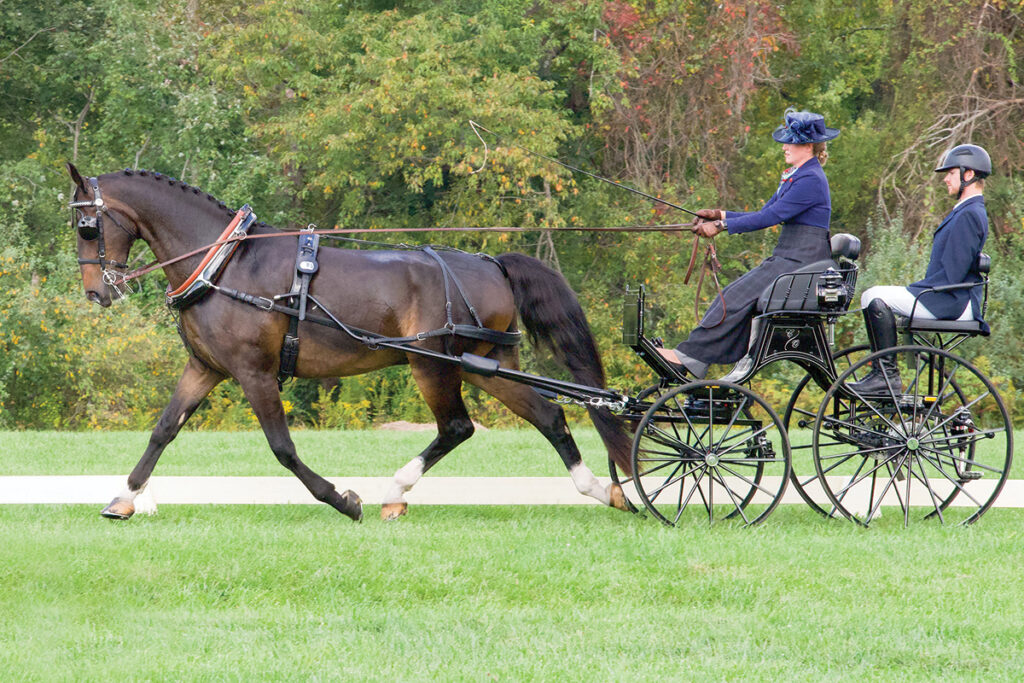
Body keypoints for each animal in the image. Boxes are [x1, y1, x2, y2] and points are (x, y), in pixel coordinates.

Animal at [66, 163, 632, 521]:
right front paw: (124, 498)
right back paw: (601, 489)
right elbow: (163, 430)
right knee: (548, 416)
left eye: (87, 226)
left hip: (433, 366)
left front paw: (342, 499)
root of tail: (491, 263)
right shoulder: (205, 368)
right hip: (484, 363)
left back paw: (394, 491)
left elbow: (283, 448)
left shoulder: (254, 372)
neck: (225, 262)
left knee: (457, 427)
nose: (96, 291)